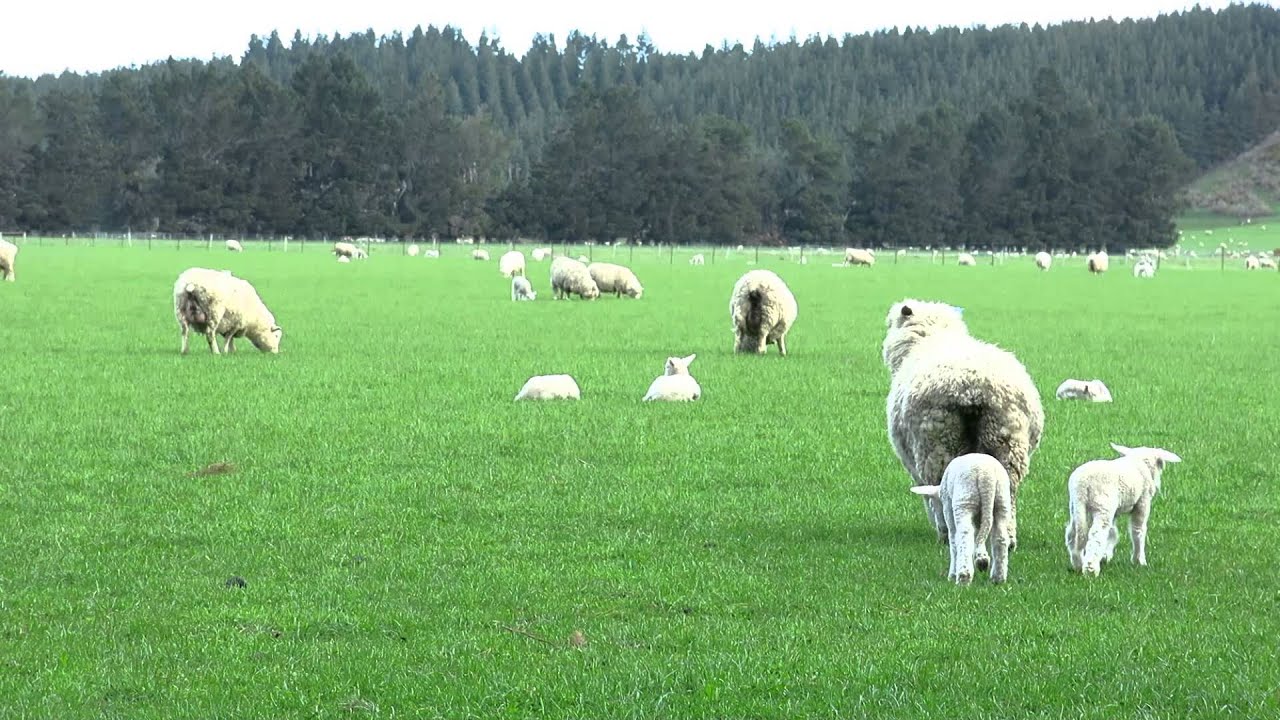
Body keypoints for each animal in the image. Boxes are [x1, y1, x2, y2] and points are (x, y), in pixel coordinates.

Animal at [883, 299, 1044, 552]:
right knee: (1007, 492)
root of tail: (973, 387)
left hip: (938, 445)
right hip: (1007, 442)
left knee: (941, 491)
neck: (932, 336)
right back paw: (1006, 539)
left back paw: (948, 534)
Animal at [910, 453, 1013, 585]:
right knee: (1000, 538)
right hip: (1001, 502)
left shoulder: (948, 509)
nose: (940, 527)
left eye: (933, 506)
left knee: (964, 535)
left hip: (965, 501)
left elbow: (954, 541)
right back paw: (997, 578)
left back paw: (963, 577)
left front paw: (952, 575)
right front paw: (982, 558)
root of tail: (986, 479)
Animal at [1065, 443, 1182, 576]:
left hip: (1077, 507)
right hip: (1102, 506)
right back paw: (1091, 570)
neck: (1141, 463)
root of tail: (1082, 485)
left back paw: (1078, 563)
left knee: (1073, 533)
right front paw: (1139, 561)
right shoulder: (1142, 502)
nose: (1157, 485)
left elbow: (1112, 533)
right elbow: (1138, 530)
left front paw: (1106, 556)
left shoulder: (1114, 511)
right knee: (1097, 535)